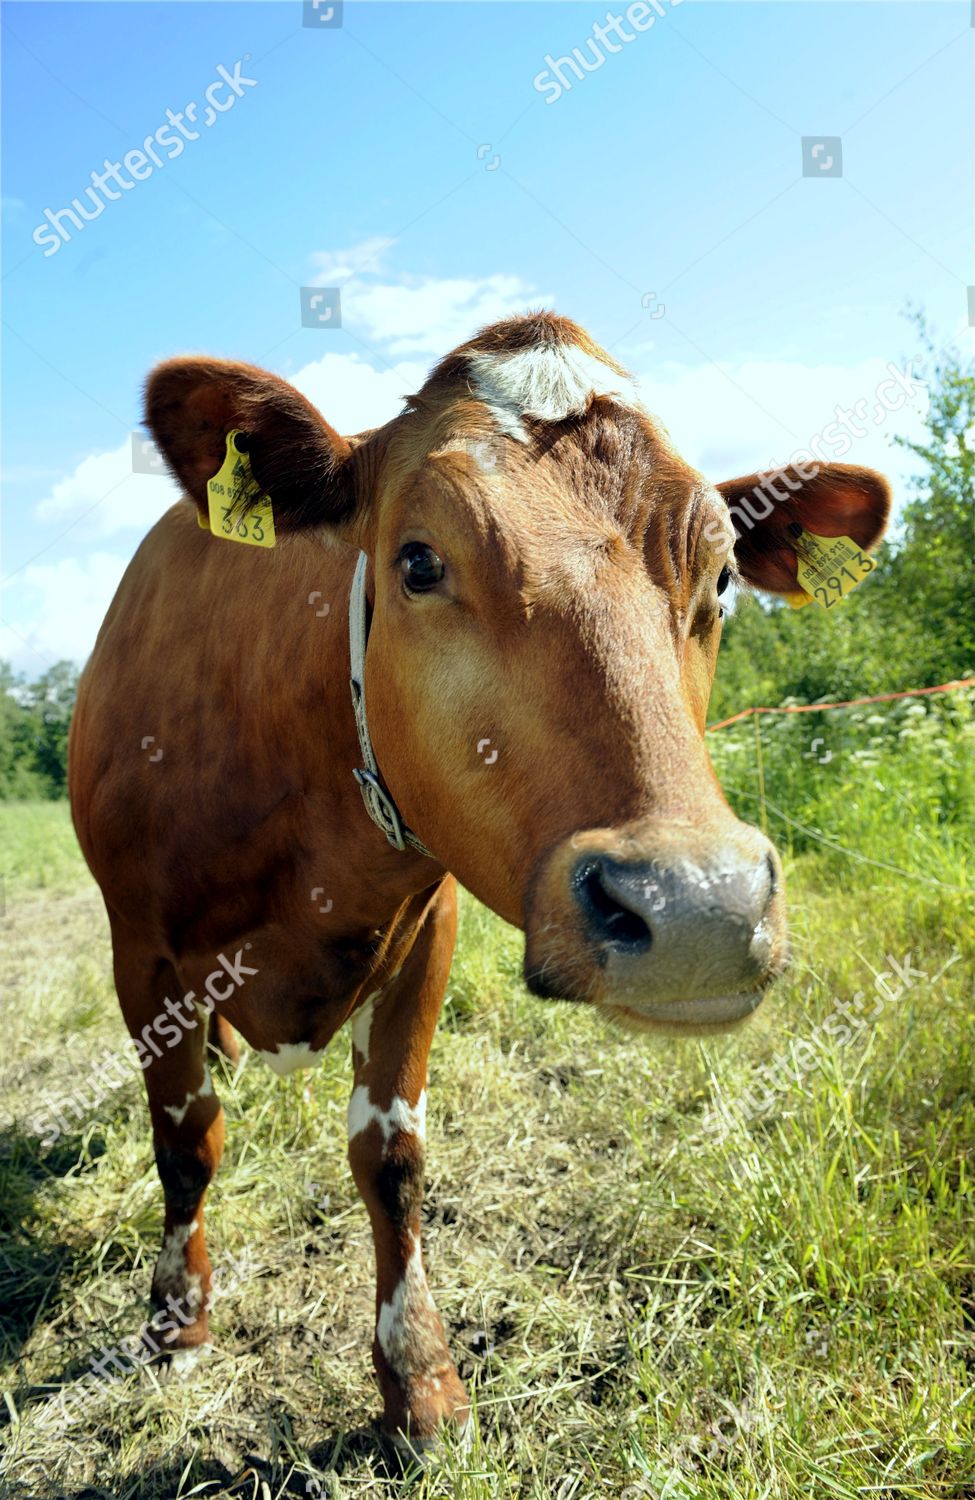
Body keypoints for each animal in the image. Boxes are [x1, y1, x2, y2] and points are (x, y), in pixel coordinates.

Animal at [68, 312, 889, 1457]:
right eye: (418, 560)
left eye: (722, 577)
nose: (699, 907)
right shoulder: (139, 948)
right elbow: (186, 1140)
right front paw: (176, 1319)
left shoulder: (426, 929)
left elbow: (390, 1157)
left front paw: (420, 1383)